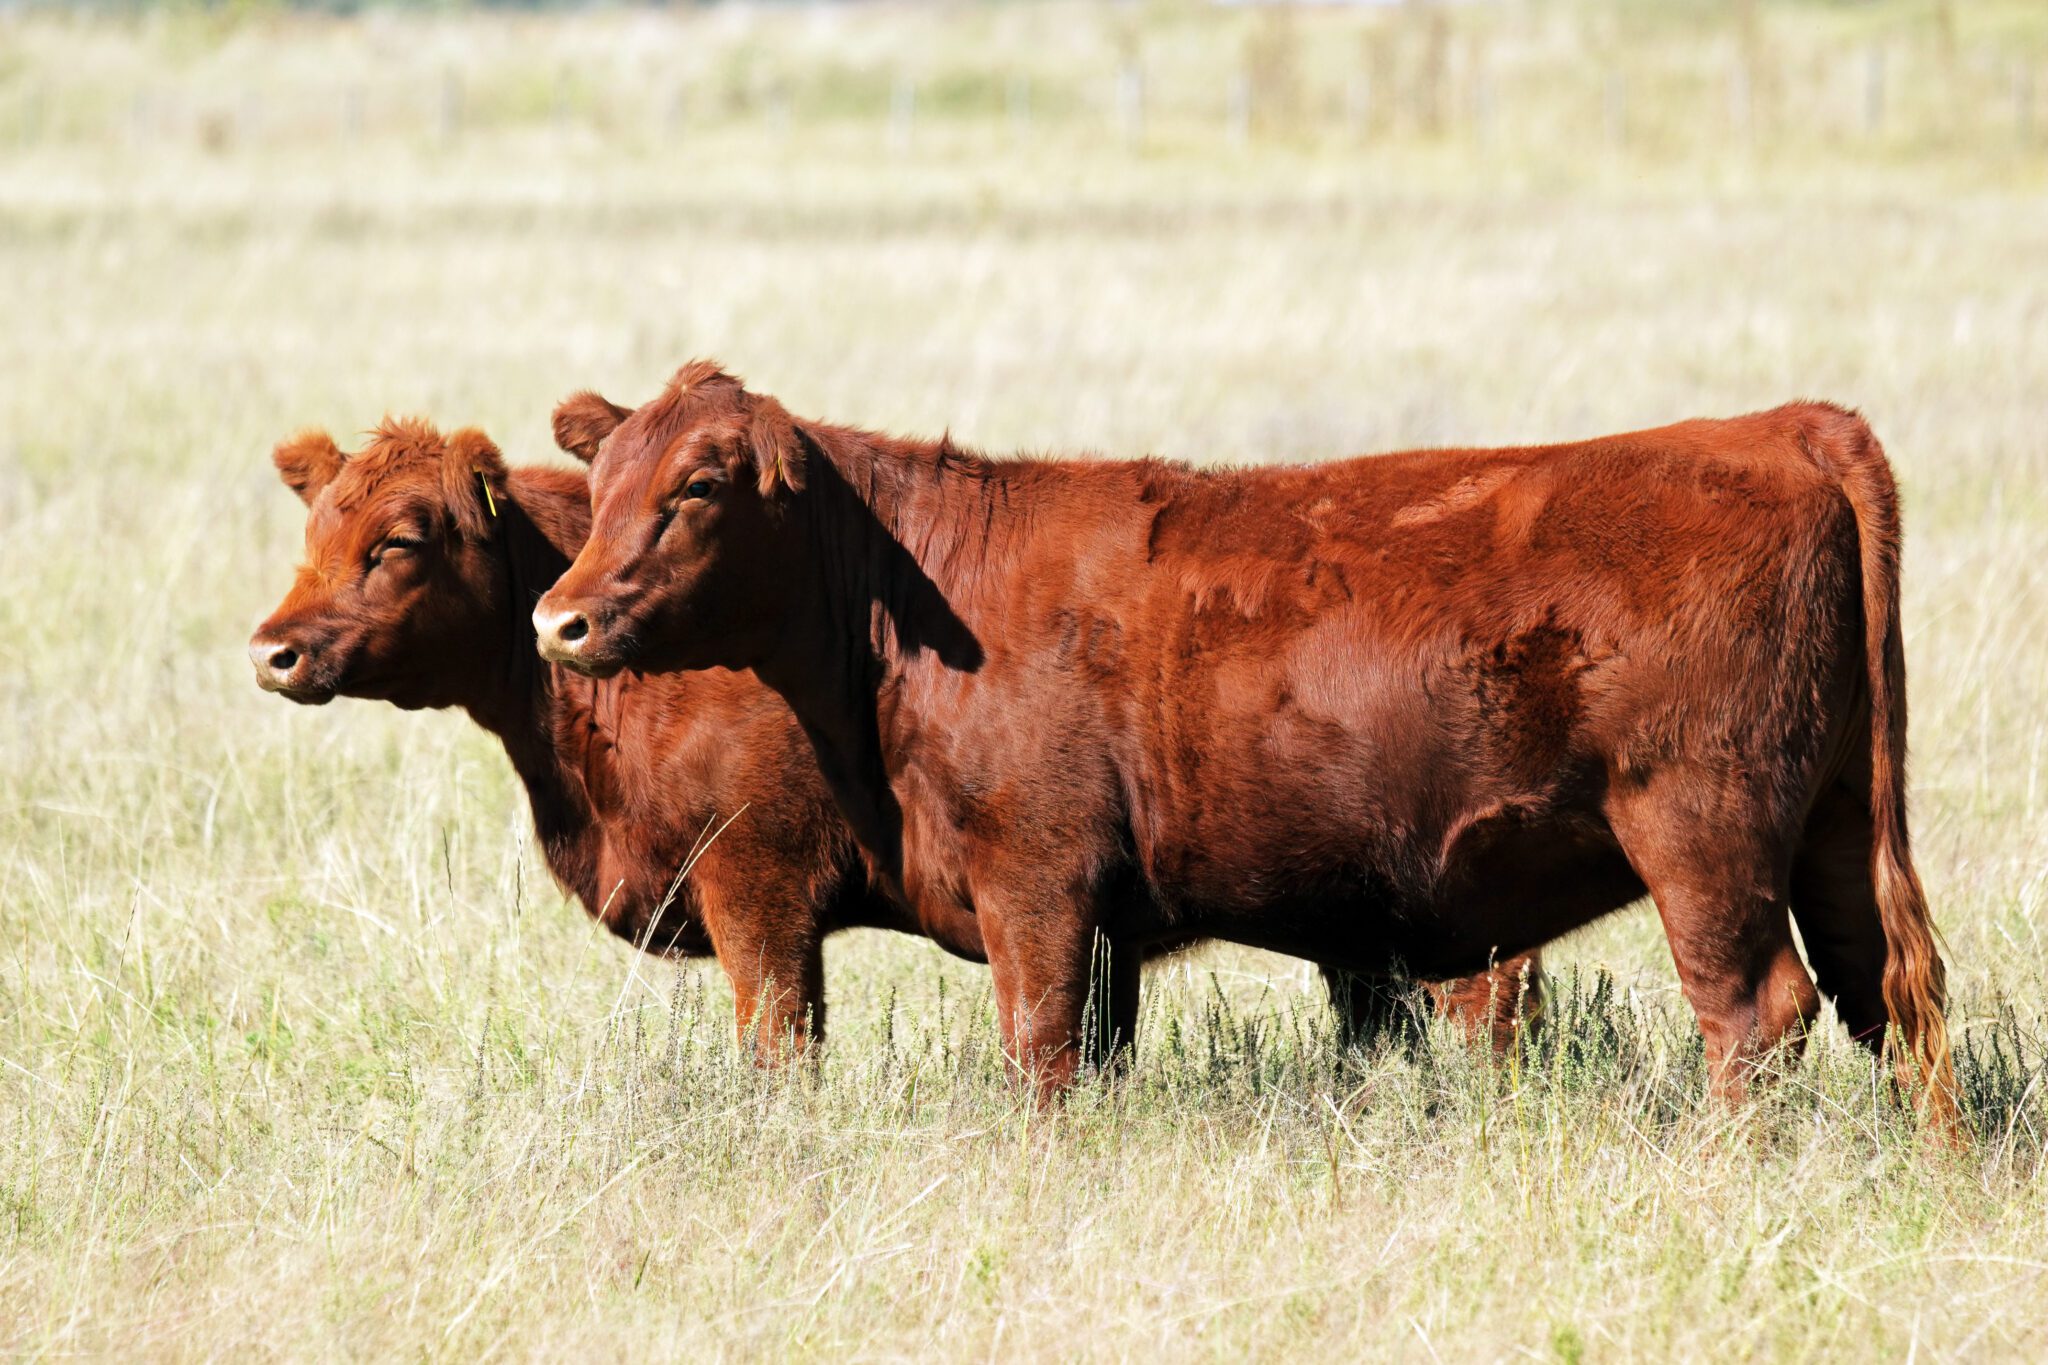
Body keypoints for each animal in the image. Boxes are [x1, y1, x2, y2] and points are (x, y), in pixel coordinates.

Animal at [532, 362, 1956, 1131]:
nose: (560, 619)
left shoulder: (1035, 880)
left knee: (1755, 1011)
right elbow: (1092, 1057)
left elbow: (1039, 1056)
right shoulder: (1099, 923)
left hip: (1700, 830)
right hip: (1834, 825)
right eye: (599, 490)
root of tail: (1779, 424)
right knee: (1893, 994)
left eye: (696, 489)